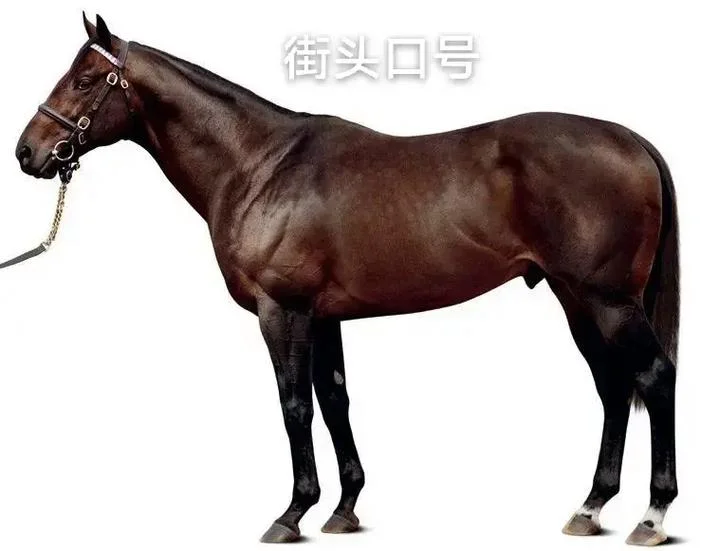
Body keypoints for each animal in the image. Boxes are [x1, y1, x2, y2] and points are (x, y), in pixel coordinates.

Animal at [15, 14, 679, 546]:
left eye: (82, 80)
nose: (27, 153)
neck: (258, 165)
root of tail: (632, 140)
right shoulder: (325, 315)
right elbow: (335, 400)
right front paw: (344, 509)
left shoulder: (282, 310)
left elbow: (295, 406)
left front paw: (291, 513)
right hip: (578, 301)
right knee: (613, 386)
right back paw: (591, 508)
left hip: (607, 300)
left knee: (653, 376)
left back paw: (651, 515)